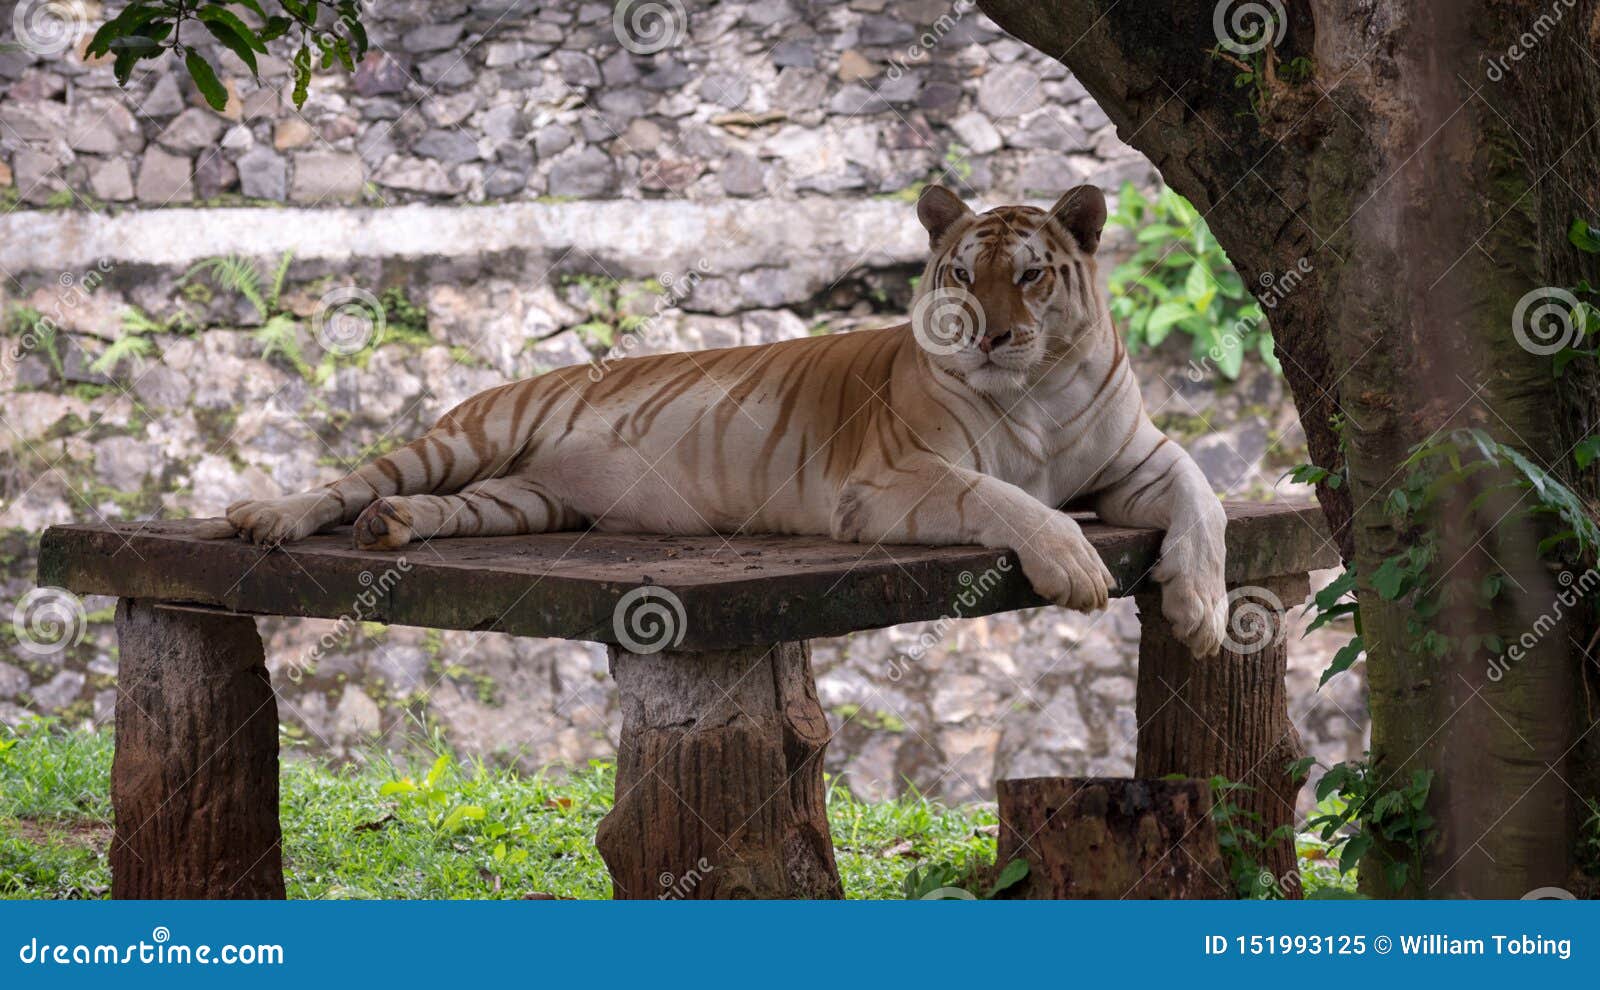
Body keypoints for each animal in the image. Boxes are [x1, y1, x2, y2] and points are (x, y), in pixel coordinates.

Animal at [201, 184, 1228, 658]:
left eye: (1030, 274)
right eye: (960, 274)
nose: (990, 335)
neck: (1036, 391)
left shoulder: (1139, 461)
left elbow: (1205, 501)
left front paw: (1204, 611)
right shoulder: (890, 481)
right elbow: (1012, 501)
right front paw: (1076, 567)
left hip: (526, 500)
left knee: (443, 509)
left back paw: (394, 529)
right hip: (465, 436)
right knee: (352, 479)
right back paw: (272, 517)